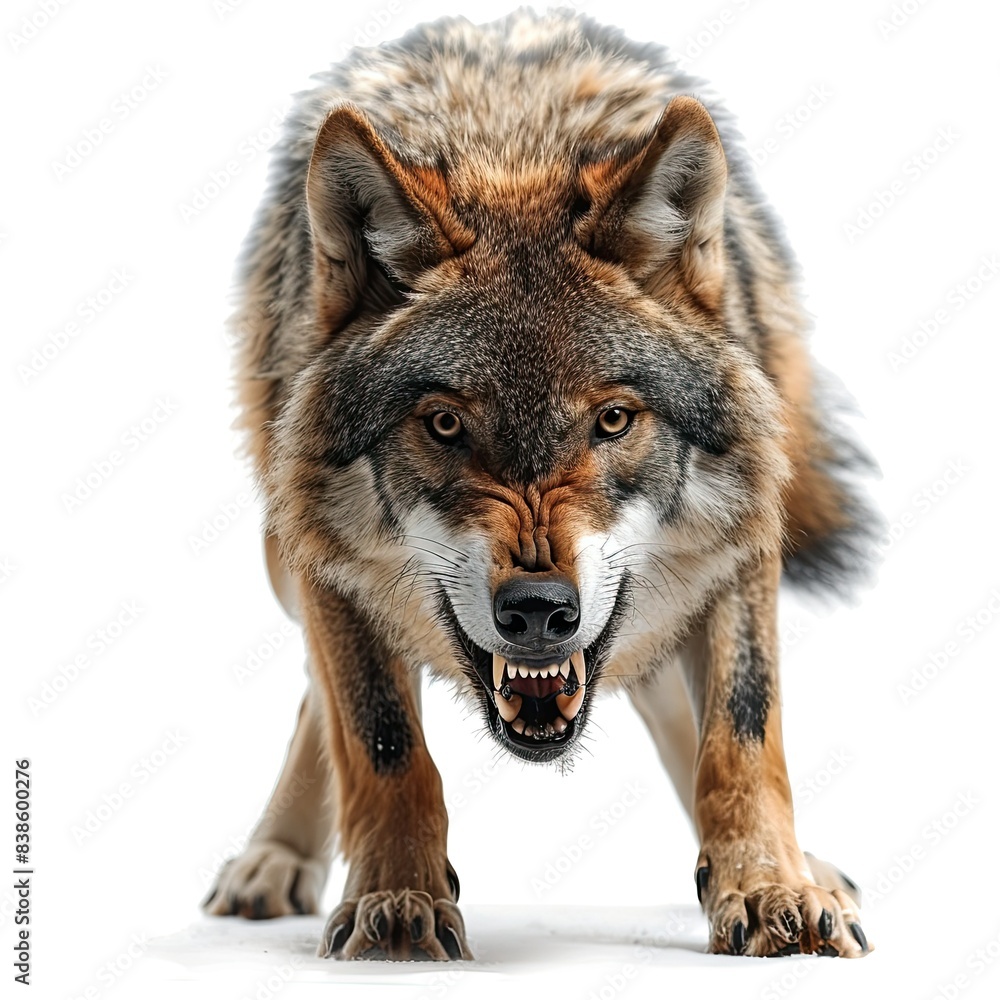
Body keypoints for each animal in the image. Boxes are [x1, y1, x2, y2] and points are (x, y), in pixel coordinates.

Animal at [203, 9, 878, 960]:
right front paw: (398, 900)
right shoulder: (324, 558)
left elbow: (741, 733)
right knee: (319, 695)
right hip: (283, 547)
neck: (513, 141)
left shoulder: (745, 539)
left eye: (614, 420)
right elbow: (380, 738)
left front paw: (769, 886)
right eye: (445, 424)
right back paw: (276, 857)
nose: (536, 610)